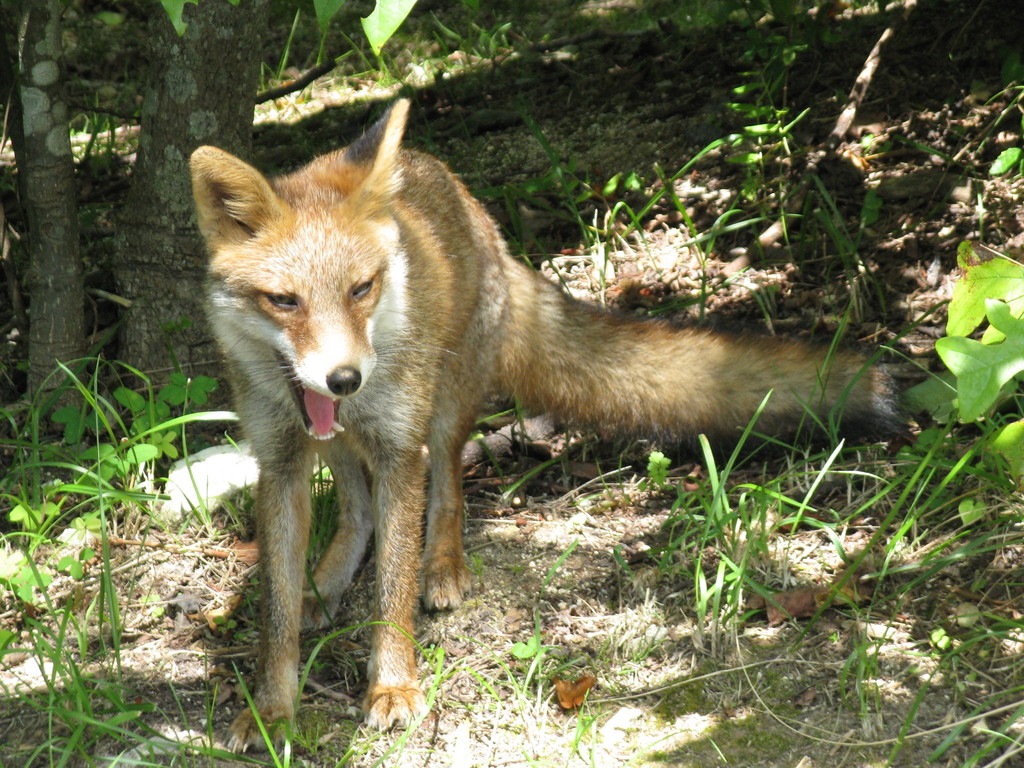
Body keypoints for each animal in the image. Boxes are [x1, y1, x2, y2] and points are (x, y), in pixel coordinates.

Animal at [189, 98, 895, 751]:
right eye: (284, 301)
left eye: (361, 289)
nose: (344, 380)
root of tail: (461, 193)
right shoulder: (280, 461)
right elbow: (277, 617)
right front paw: (271, 712)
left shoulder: (397, 448)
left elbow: (393, 591)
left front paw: (393, 687)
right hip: (339, 440)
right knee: (358, 512)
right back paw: (328, 581)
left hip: (440, 407)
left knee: (447, 487)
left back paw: (442, 566)